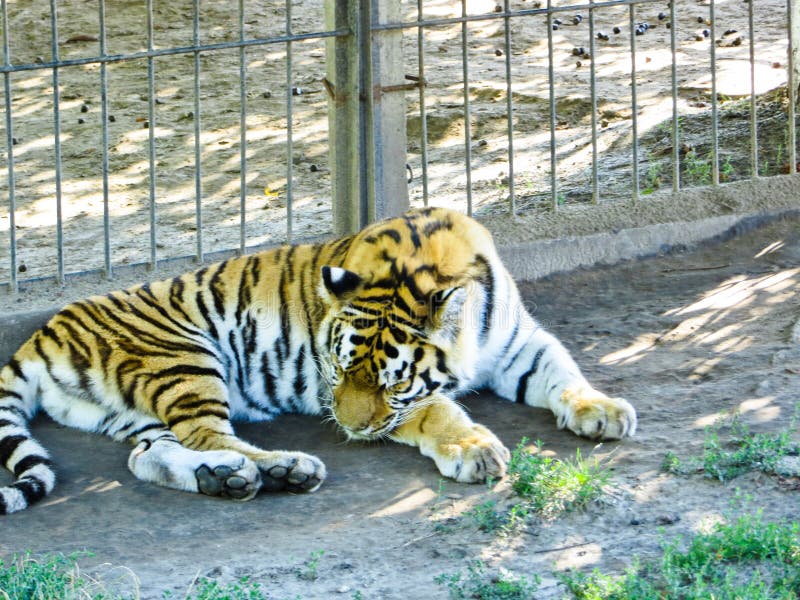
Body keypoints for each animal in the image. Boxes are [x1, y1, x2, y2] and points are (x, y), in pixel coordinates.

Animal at [0, 207, 636, 514]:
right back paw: (283, 468)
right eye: (337, 369)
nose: (350, 431)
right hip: (183, 358)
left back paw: (227, 480)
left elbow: (565, 373)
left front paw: (602, 410)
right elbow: (439, 412)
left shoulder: (522, 341)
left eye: (391, 382)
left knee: (149, 456)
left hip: (133, 413)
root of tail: (42, 333)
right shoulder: (409, 402)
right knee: (211, 437)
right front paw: (474, 450)